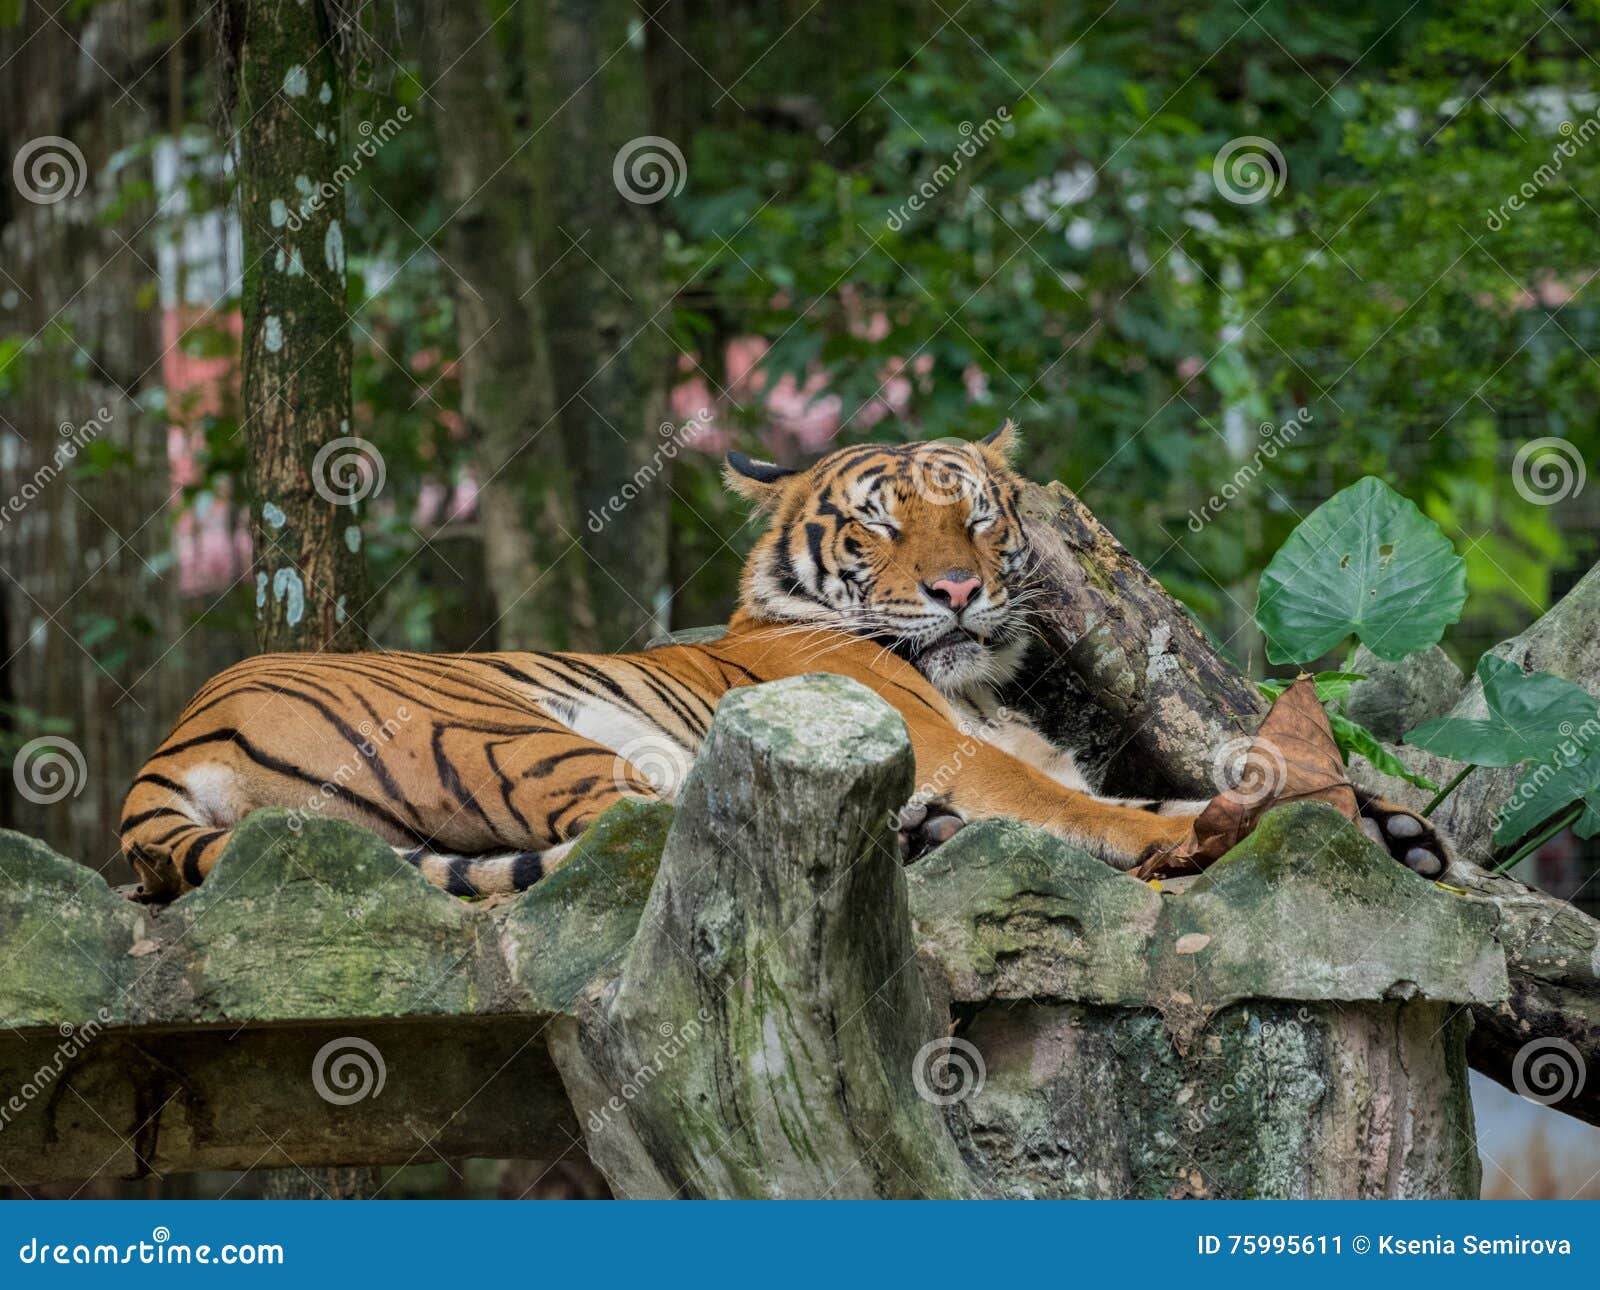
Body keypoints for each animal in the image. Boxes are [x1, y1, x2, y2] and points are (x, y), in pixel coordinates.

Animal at [118, 422, 1447, 899]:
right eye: (878, 526)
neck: (978, 682)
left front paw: (1393, 828)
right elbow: (1075, 803)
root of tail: (164, 751)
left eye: (978, 516)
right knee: (638, 827)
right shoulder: (948, 745)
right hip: (506, 729)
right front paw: (1163, 837)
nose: (957, 590)